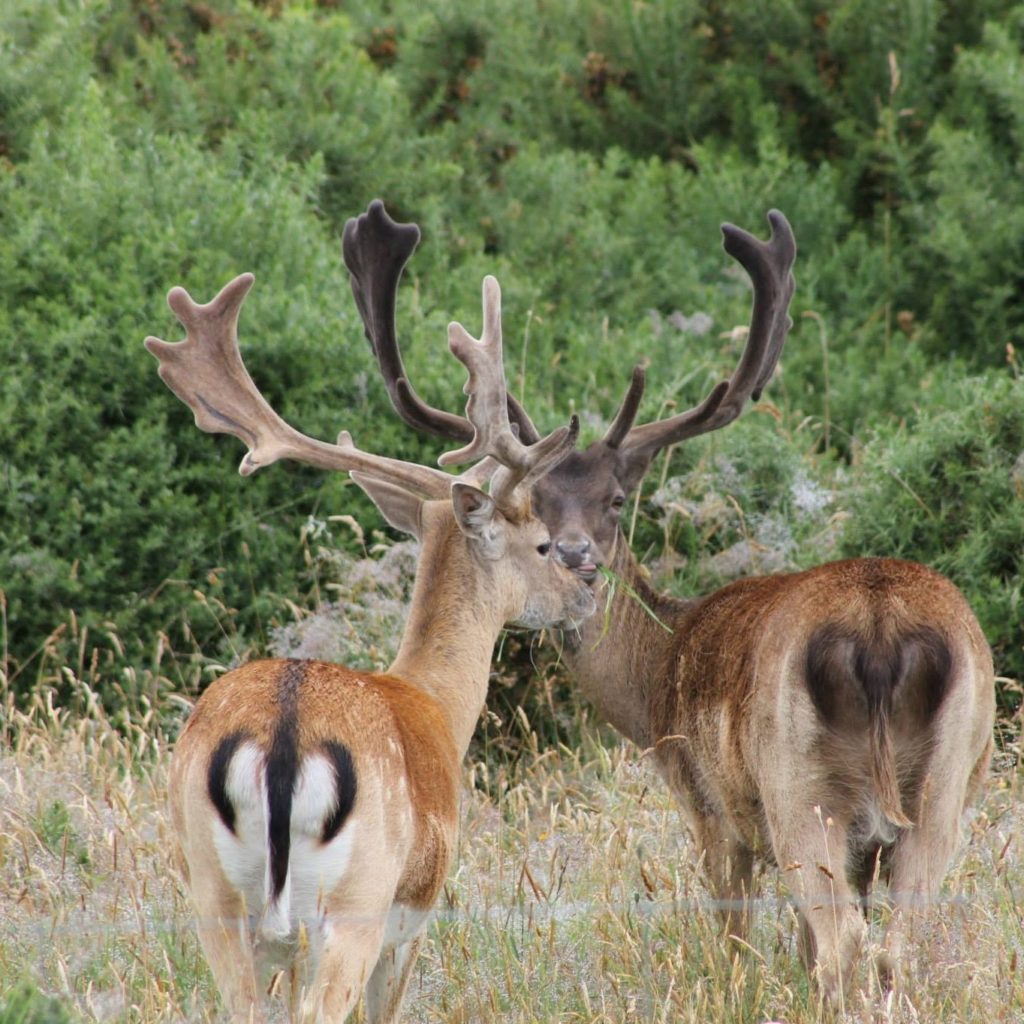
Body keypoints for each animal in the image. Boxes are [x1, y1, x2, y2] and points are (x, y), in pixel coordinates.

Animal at [144, 266, 596, 1022]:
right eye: (540, 542)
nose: (587, 588)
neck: (435, 702)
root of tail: (284, 736)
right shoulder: (412, 919)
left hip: (214, 891)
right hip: (355, 900)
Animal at [343, 199, 996, 1009]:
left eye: (616, 500)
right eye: (538, 505)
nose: (576, 557)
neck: (657, 674)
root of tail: (880, 634)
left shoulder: (710, 807)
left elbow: (737, 942)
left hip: (800, 795)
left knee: (844, 942)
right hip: (946, 790)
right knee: (894, 946)